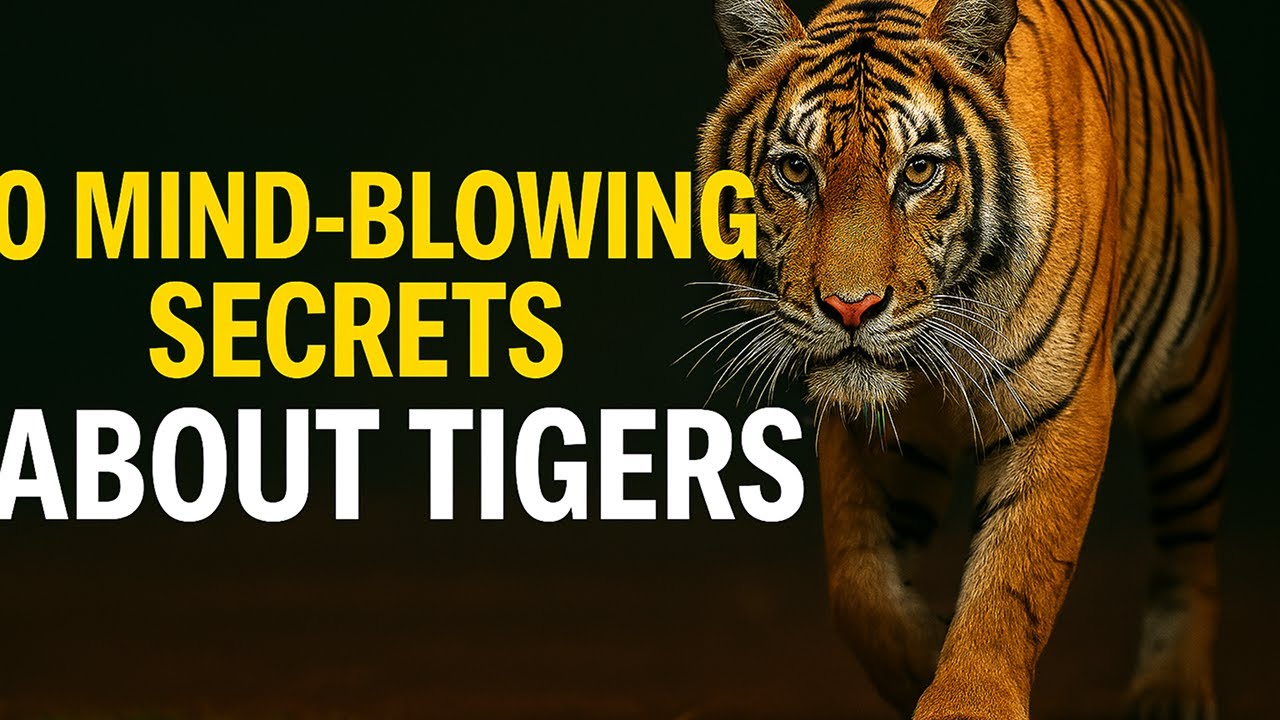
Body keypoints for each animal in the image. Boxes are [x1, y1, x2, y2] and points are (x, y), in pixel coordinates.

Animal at [693, 0, 1235, 717]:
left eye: (919, 171)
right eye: (797, 171)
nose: (850, 309)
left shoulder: (1061, 404)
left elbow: (1012, 581)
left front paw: (964, 696)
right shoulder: (875, 429)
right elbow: (859, 583)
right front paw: (924, 656)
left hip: (1191, 385)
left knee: (1190, 541)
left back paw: (1172, 688)